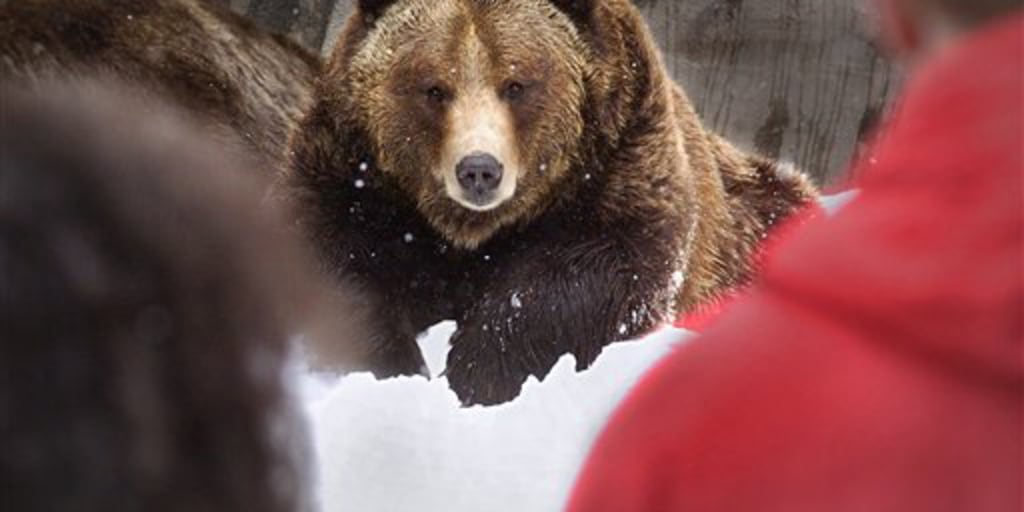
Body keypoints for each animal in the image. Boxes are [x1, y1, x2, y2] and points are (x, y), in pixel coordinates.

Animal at [287, 0, 819, 405]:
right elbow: (334, 263)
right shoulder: (354, 174)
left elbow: (594, 275)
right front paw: (393, 366)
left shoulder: (620, 159)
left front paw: (477, 372)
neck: (470, 232)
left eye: (516, 84)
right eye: (433, 87)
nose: (479, 170)